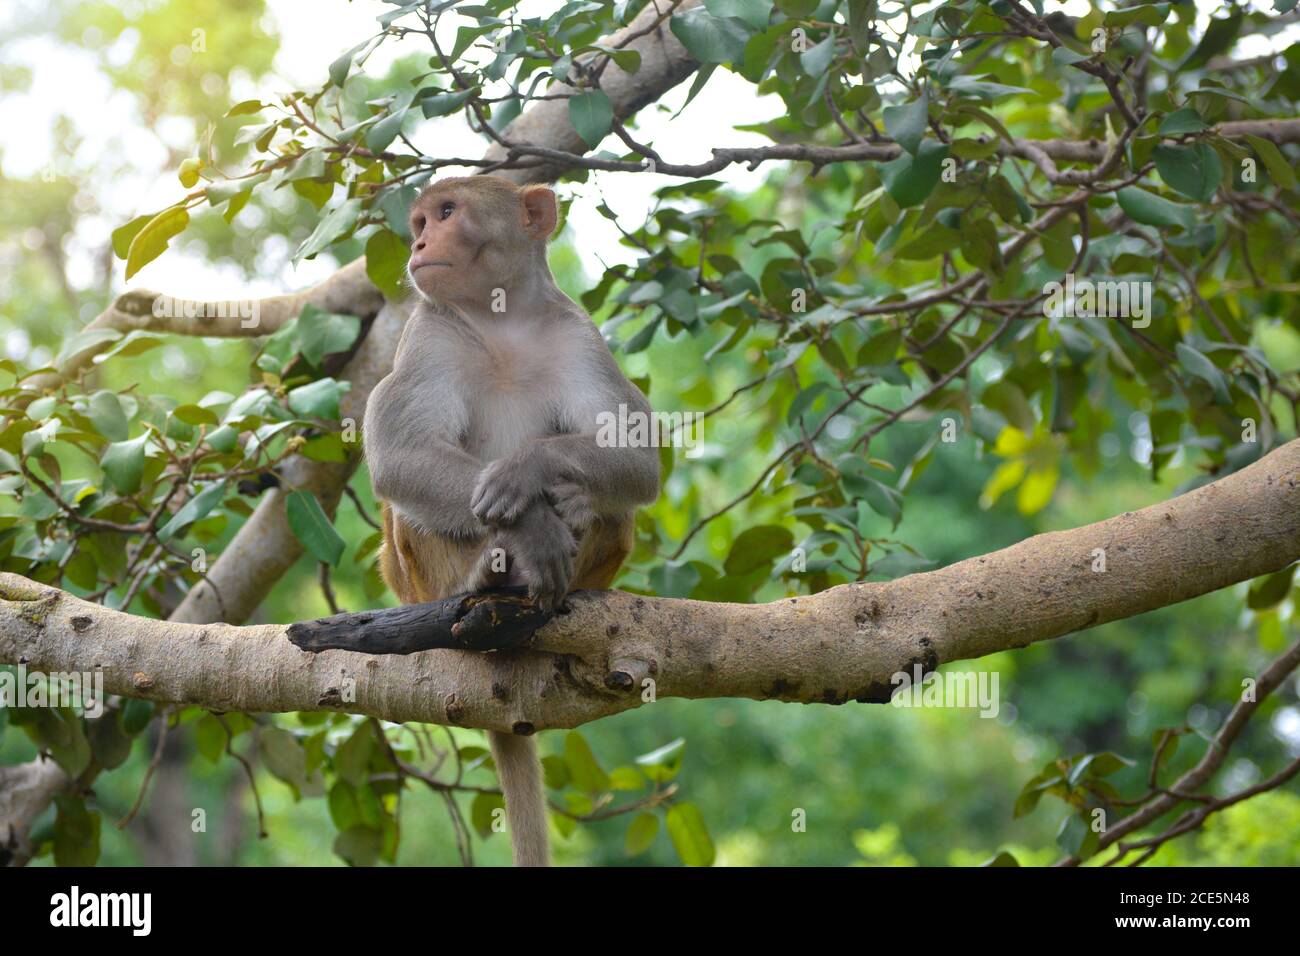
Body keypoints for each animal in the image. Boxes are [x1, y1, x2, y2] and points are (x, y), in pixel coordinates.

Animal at [363, 175, 661, 866]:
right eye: (421, 220)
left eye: (447, 213)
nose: (418, 244)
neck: (502, 319)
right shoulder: (427, 333)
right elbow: (400, 454)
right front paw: (530, 528)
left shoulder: (579, 336)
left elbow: (636, 456)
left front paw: (531, 471)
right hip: (418, 584)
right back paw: (488, 578)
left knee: (611, 506)